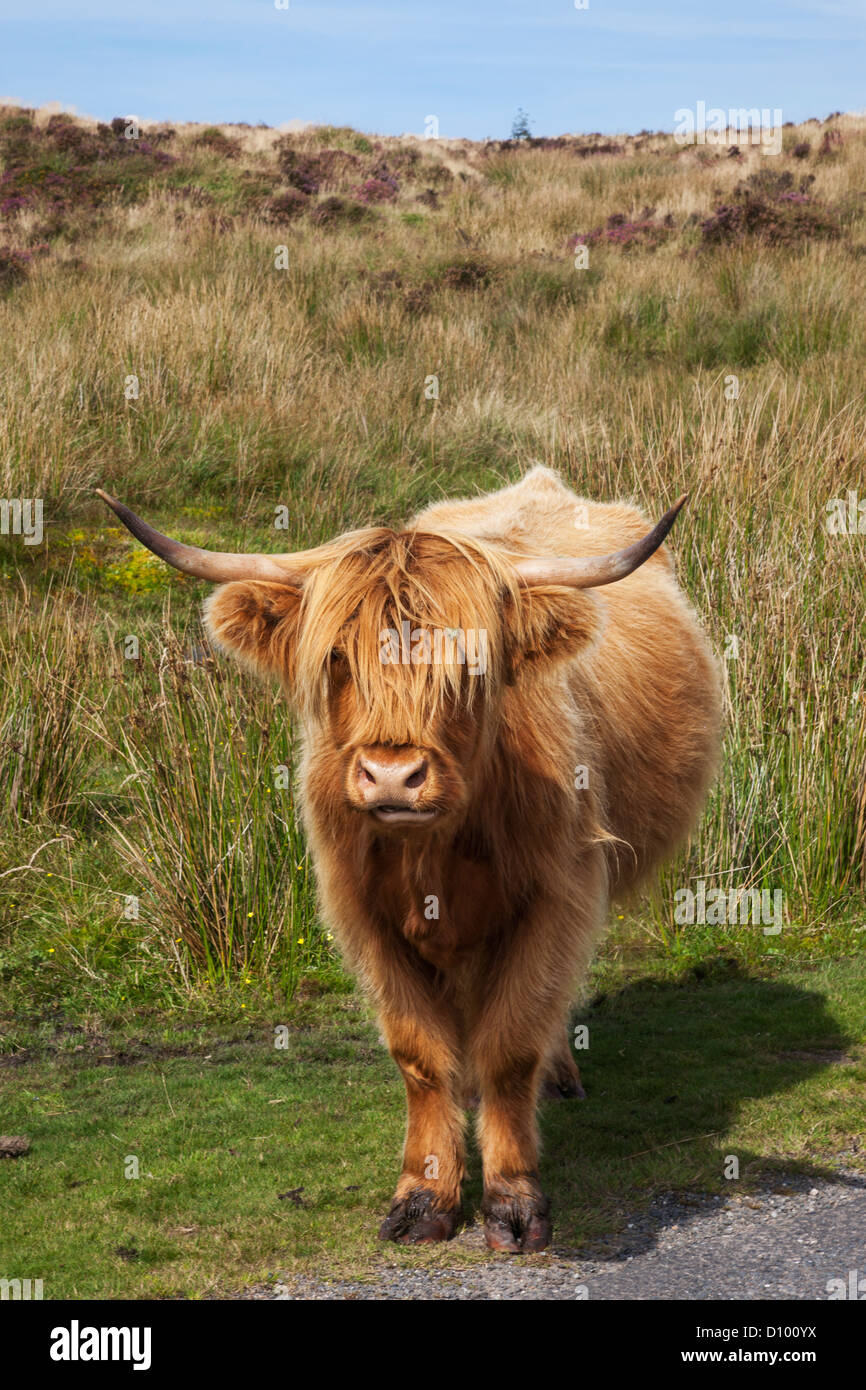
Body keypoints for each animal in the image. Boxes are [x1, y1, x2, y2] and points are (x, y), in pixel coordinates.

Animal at [97, 466, 721, 1252]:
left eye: (469, 662)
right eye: (337, 656)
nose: (393, 777)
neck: (435, 852)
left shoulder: (558, 895)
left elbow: (512, 1042)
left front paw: (514, 1202)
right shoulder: (361, 915)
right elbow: (420, 1054)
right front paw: (425, 1197)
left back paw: (558, 1075)